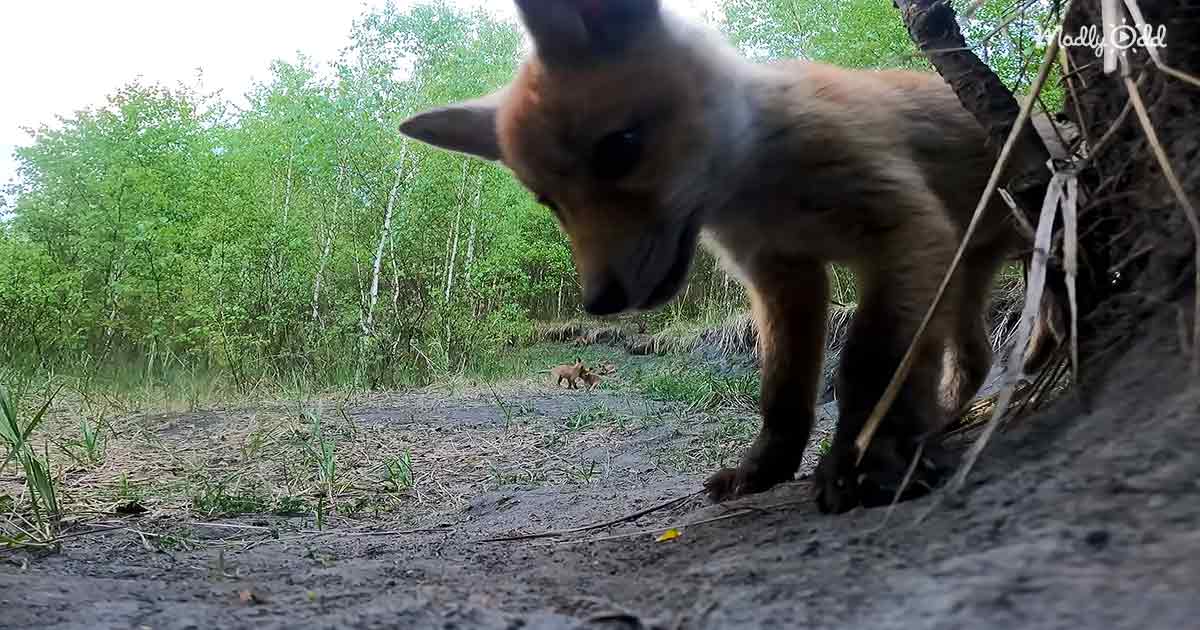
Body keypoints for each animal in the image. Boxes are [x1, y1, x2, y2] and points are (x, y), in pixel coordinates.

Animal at [400, 0, 1065, 513]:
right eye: (547, 201)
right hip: (967, 268)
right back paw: (954, 415)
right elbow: (783, 390)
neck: (761, 190)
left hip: (1018, 228)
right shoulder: (782, 275)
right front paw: (763, 471)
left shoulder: (903, 230)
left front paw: (868, 461)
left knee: (1045, 296)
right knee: (976, 355)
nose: (600, 301)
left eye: (619, 149)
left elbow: (870, 365)